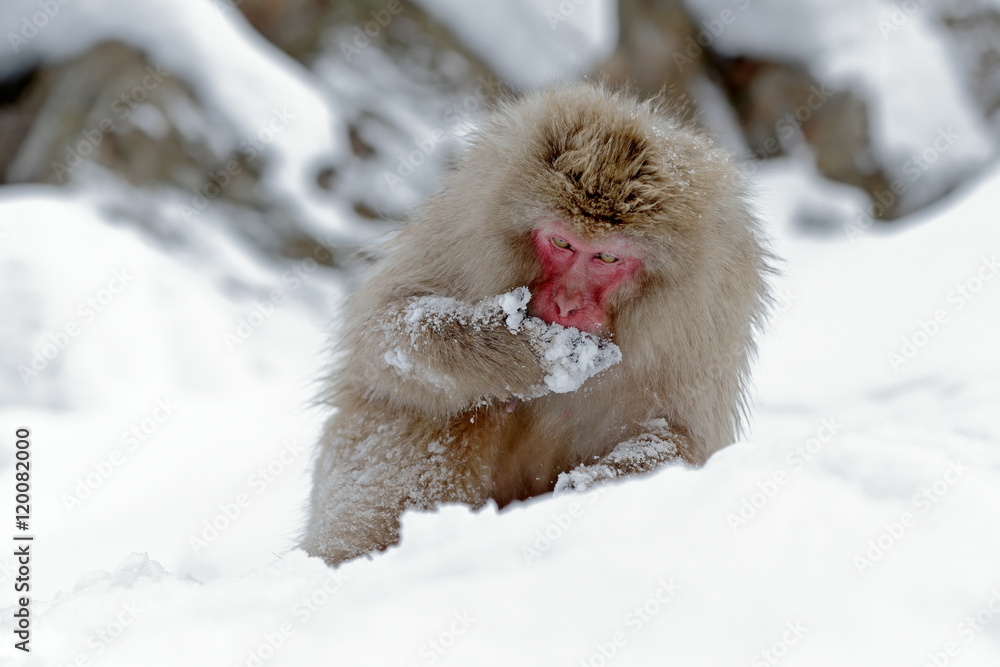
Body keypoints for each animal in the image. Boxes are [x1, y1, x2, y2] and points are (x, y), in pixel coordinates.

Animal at [303, 84, 771, 566]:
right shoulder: (469, 215)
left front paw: (589, 487)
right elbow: (383, 334)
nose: (566, 303)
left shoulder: (711, 309)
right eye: (562, 242)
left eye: (607, 257)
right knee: (435, 410)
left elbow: (685, 439)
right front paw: (521, 352)